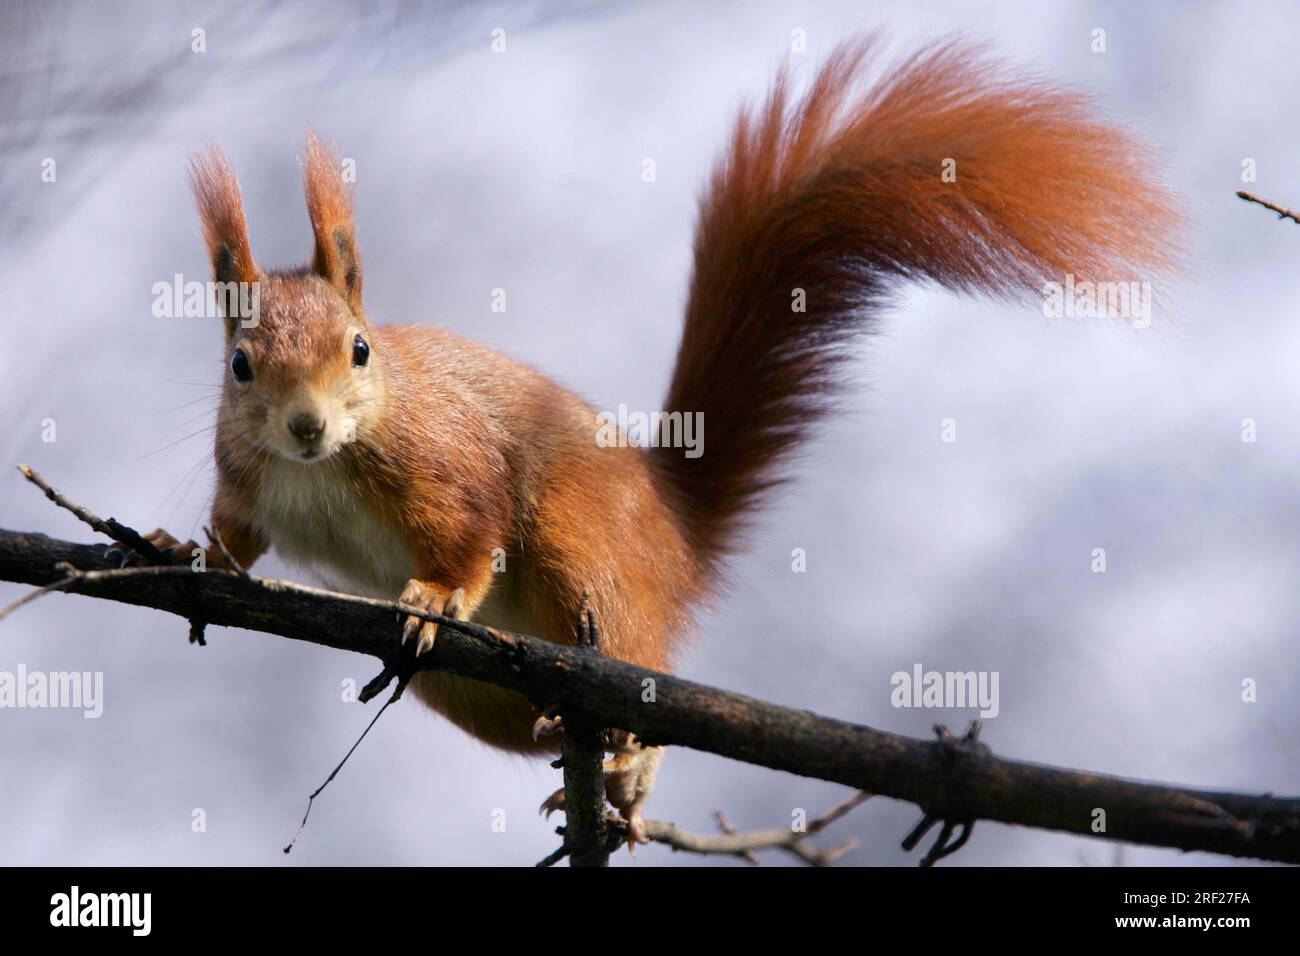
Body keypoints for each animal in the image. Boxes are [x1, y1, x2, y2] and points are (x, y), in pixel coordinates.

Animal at [140, 39, 1181, 846]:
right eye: (240, 365)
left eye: (359, 349)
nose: (307, 425)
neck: (323, 467)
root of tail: (675, 523)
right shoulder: (248, 479)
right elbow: (235, 537)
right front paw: (177, 549)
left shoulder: (443, 464)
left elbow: (471, 531)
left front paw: (435, 595)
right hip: (477, 697)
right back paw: (600, 776)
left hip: (582, 553)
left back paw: (630, 764)